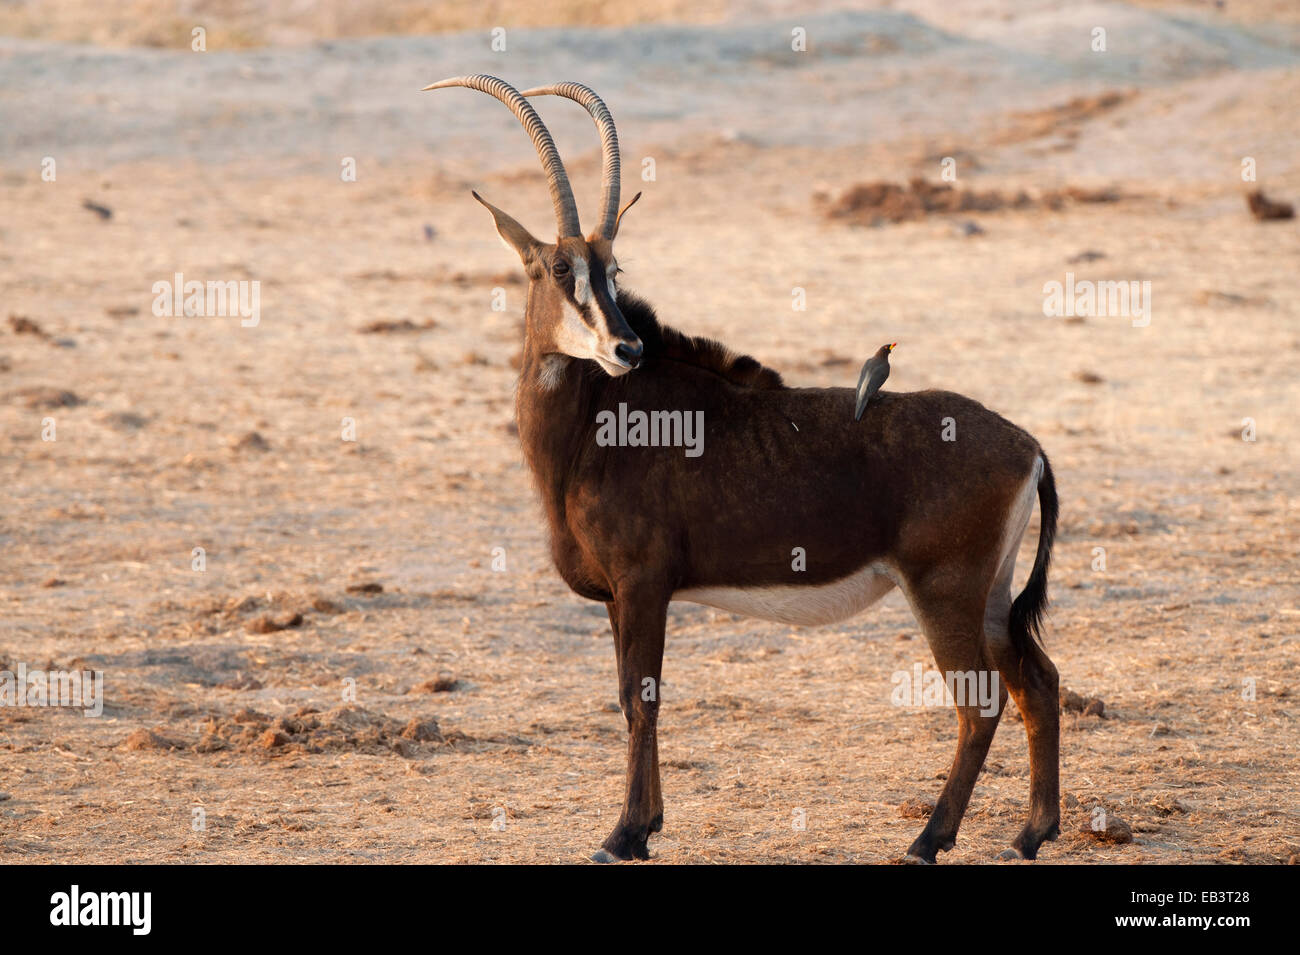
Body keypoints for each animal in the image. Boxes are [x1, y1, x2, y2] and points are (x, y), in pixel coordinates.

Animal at [423, 74, 1062, 864]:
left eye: (613, 270)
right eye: (559, 267)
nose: (627, 348)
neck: (599, 420)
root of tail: (1027, 445)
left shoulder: (643, 584)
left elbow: (638, 698)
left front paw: (624, 833)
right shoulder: (618, 597)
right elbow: (632, 698)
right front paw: (645, 825)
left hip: (945, 589)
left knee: (981, 703)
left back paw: (928, 838)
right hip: (993, 594)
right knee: (1038, 682)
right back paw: (1032, 832)